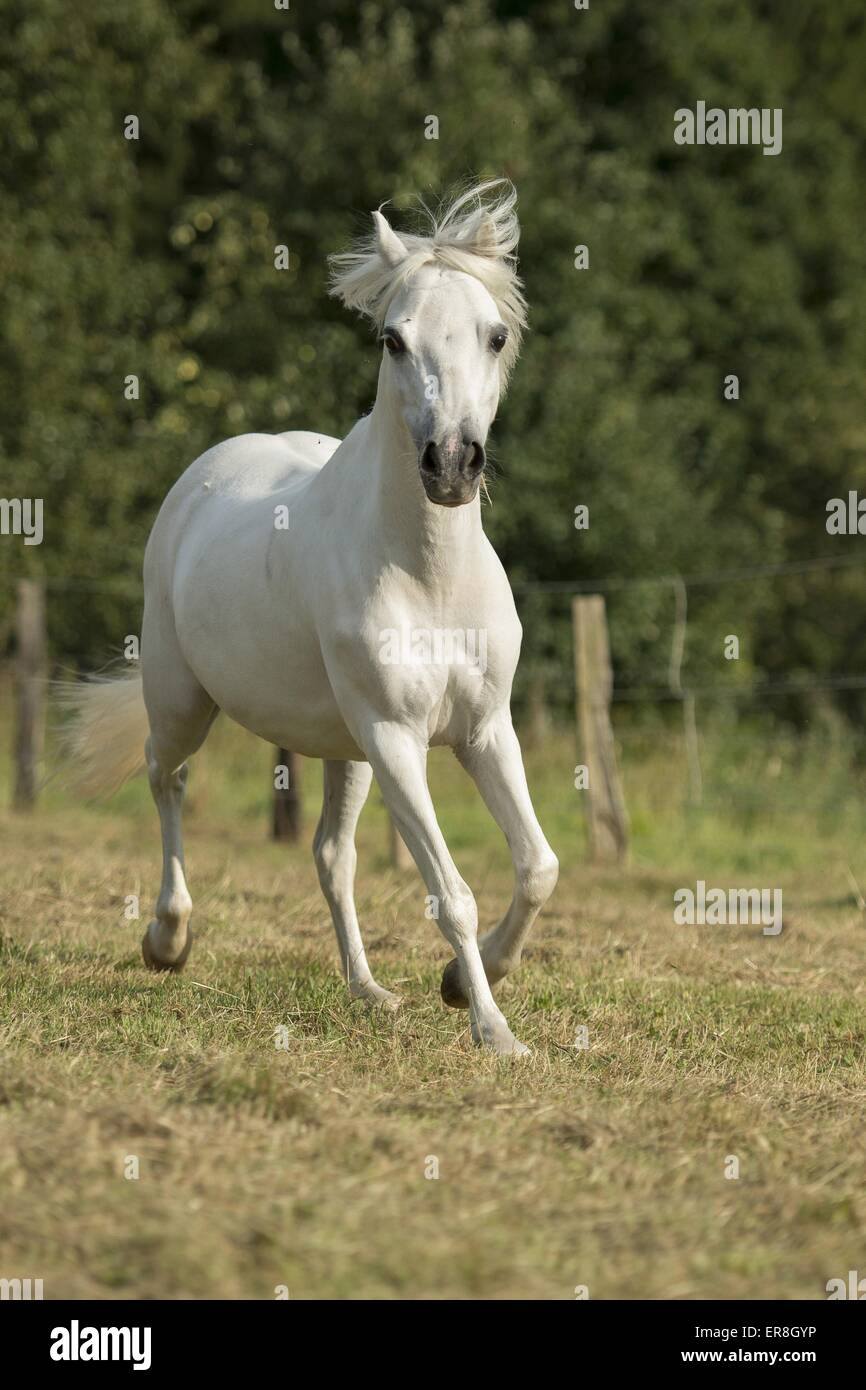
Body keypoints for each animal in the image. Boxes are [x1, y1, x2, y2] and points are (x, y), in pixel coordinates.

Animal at [65, 180, 558, 1055]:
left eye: (496, 336)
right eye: (394, 340)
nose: (451, 465)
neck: (429, 578)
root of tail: (206, 473)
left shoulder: (483, 730)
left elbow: (537, 867)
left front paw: (460, 987)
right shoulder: (398, 742)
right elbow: (453, 893)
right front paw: (493, 1030)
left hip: (342, 749)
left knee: (331, 855)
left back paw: (369, 990)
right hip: (185, 701)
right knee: (166, 777)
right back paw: (167, 940)